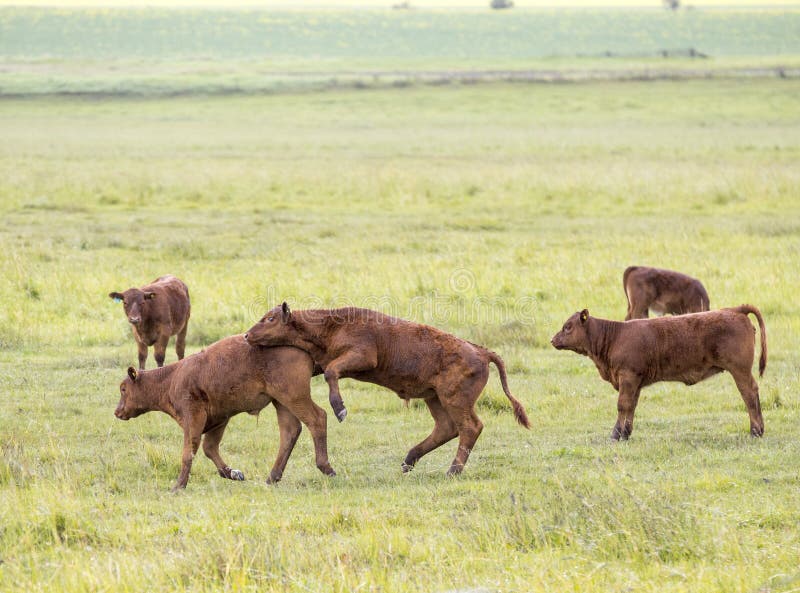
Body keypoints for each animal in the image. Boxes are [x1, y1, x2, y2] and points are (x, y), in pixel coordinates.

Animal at [114, 335, 336, 491]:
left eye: (123, 388)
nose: (117, 412)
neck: (171, 378)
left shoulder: (193, 418)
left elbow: (189, 452)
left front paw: (178, 486)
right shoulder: (219, 419)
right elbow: (209, 448)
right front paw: (234, 474)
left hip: (294, 397)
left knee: (317, 418)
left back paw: (326, 468)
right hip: (281, 402)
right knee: (290, 431)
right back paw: (272, 478)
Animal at [244, 303, 530, 476]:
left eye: (270, 318)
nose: (247, 335)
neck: (332, 325)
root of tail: (481, 351)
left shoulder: (361, 357)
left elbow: (331, 373)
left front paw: (340, 409)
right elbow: (329, 371)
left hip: (454, 400)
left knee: (470, 427)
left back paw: (452, 471)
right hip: (434, 398)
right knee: (447, 428)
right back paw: (408, 461)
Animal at [550, 305, 767, 440]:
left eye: (568, 327)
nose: (553, 340)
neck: (615, 336)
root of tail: (735, 310)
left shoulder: (627, 377)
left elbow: (622, 405)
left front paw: (615, 434)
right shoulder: (635, 382)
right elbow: (631, 407)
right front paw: (626, 433)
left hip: (740, 370)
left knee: (749, 394)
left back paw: (755, 431)